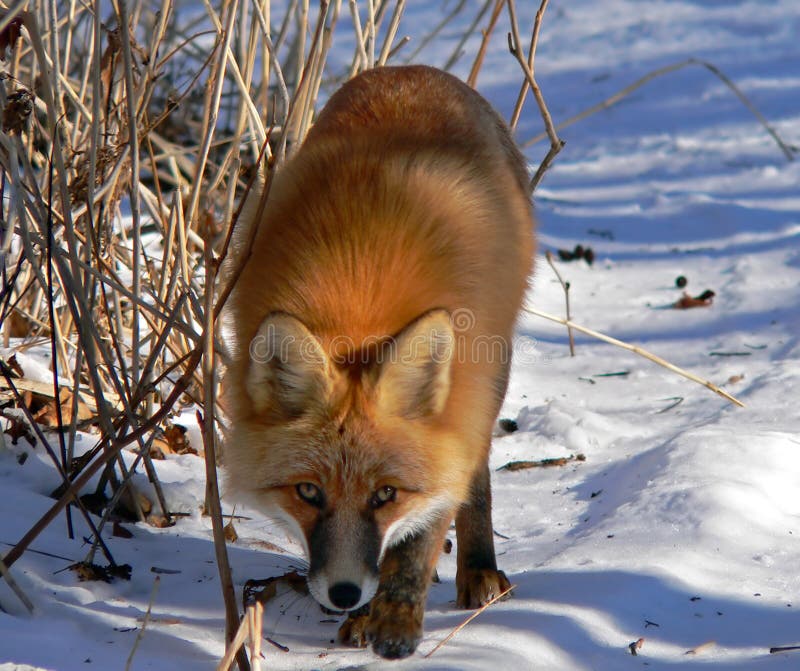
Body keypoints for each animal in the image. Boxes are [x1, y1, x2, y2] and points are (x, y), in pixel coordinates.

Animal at [223, 65, 535, 659]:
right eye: (308, 492)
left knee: (476, 480)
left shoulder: (455, 423)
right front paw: (369, 614)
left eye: (385, 495)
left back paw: (477, 570)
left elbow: (421, 534)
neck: (359, 310)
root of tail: (412, 72)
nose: (344, 593)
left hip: (494, 372)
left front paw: (396, 619)